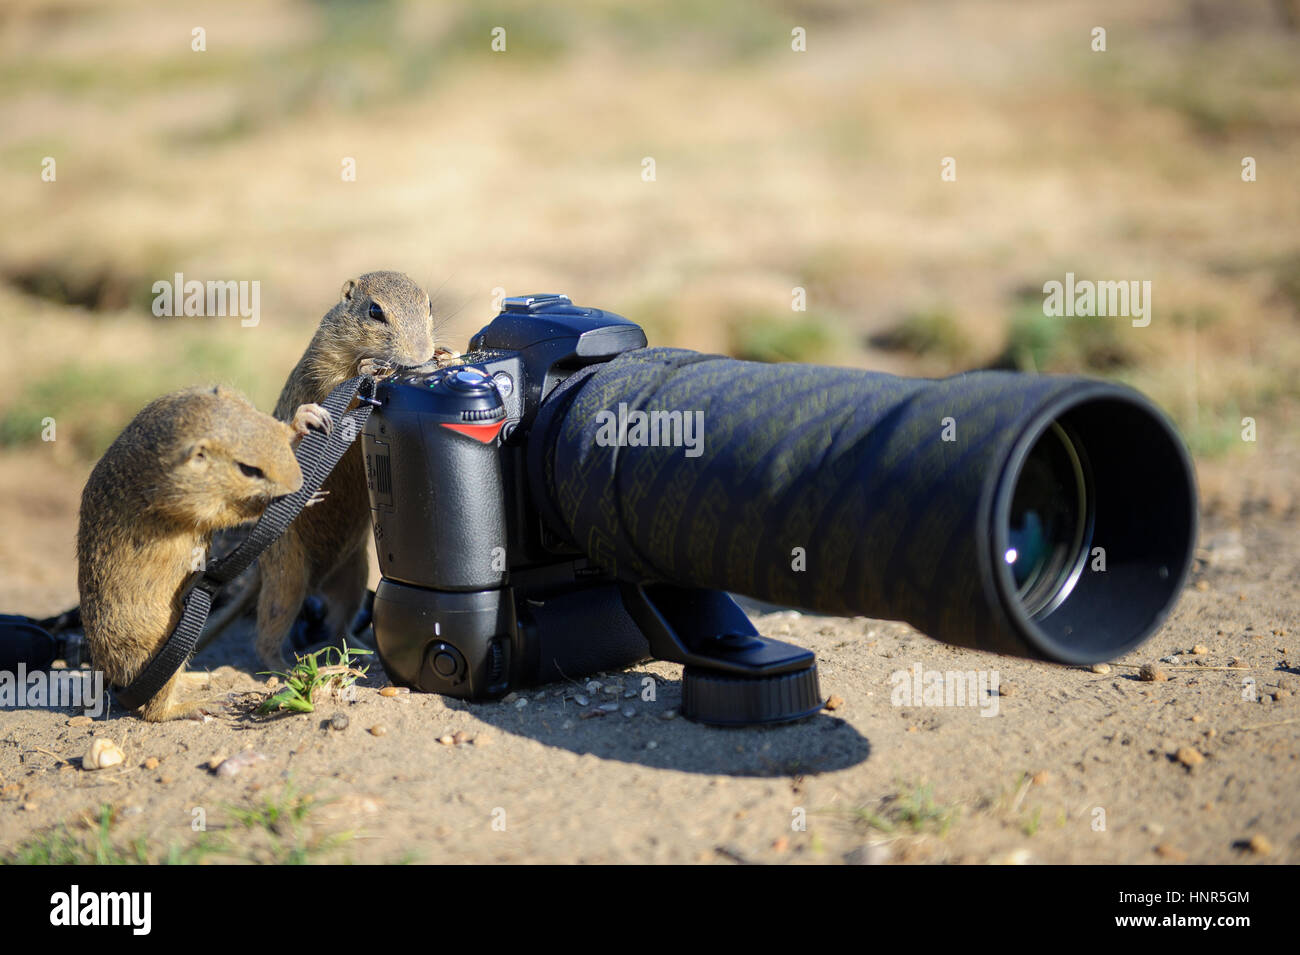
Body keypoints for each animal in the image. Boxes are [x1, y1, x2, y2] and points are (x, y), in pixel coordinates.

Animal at [77, 385, 330, 721]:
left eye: (262, 419)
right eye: (248, 469)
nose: (298, 481)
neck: (188, 424)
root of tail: (110, 673)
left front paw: (303, 419)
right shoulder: (184, 498)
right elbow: (227, 513)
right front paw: (296, 497)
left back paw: (200, 678)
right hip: (161, 640)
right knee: (154, 711)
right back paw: (196, 704)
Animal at [203, 271, 444, 668]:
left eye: (429, 305)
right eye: (375, 311)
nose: (421, 354)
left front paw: (444, 354)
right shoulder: (322, 367)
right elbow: (336, 387)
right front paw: (364, 372)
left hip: (355, 573)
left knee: (340, 625)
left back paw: (363, 651)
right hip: (288, 577)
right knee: (267, 637)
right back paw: (285, 669)